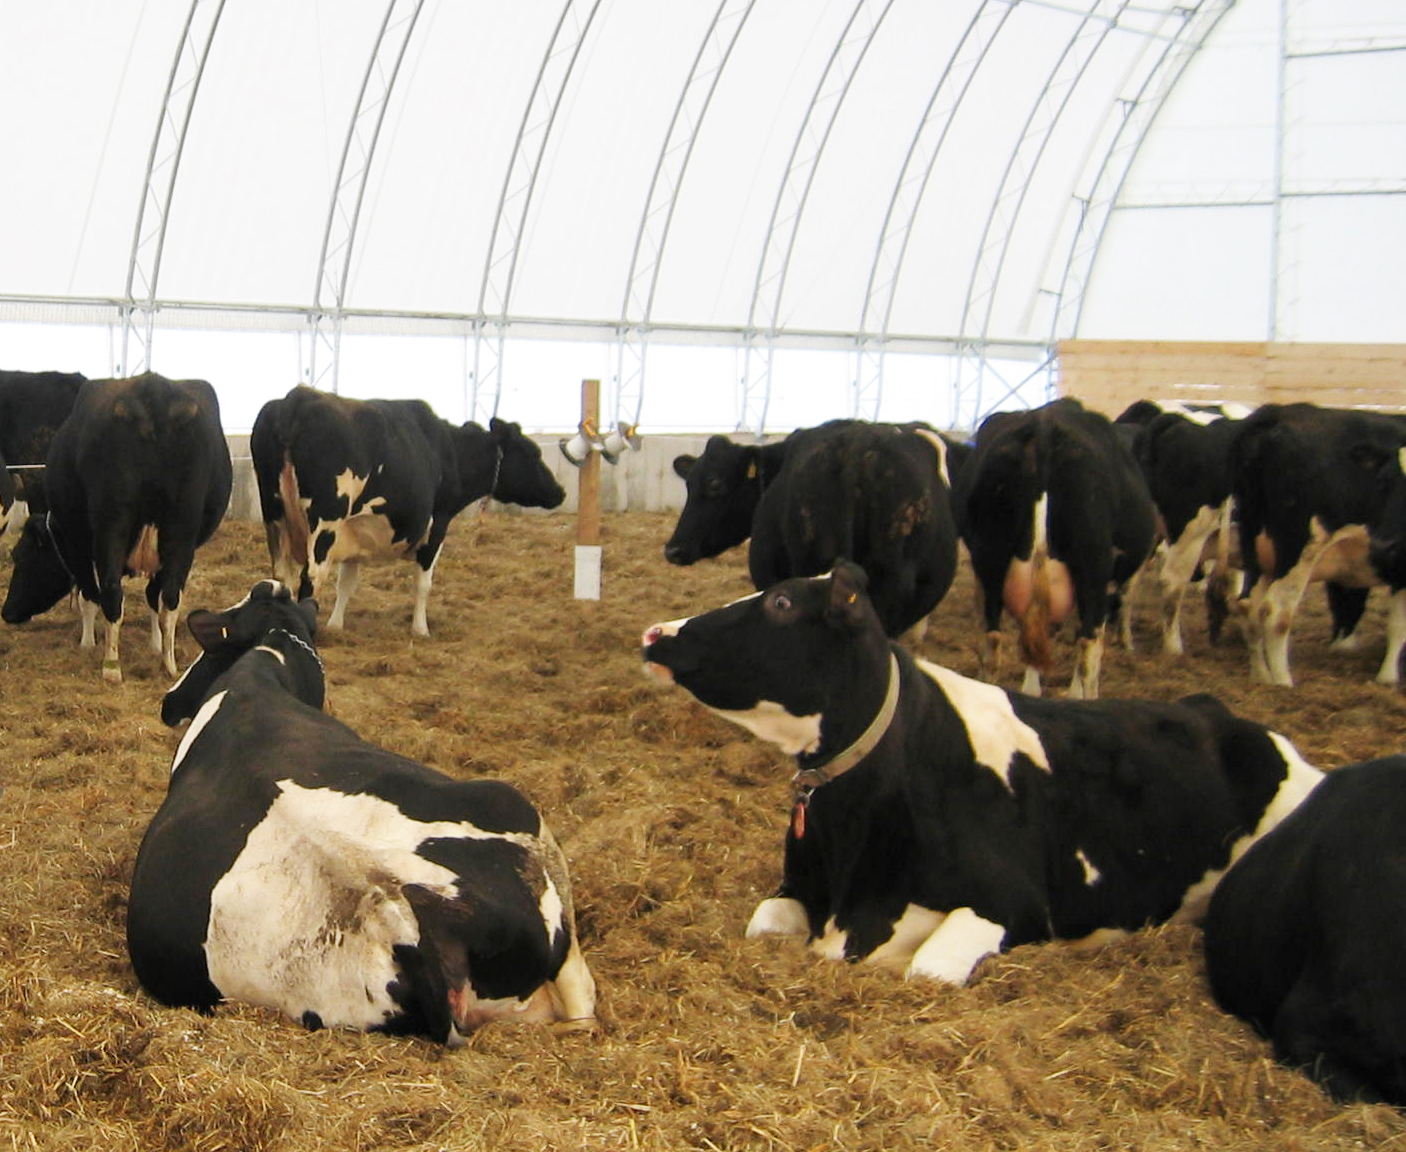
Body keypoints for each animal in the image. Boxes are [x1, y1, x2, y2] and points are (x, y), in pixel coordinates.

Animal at [0, 373, 232, 683]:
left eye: (21, 557)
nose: (7, 612)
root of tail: (153, 390)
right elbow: (153, 596)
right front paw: (156, 644)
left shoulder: (78, 545)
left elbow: (88, 595)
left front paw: (87, 643)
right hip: (182, 525)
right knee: (170, 597)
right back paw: (169, 665)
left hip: (113, 521)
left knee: (110, 590)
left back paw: (111, 667)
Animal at [250, 385, 565, 637]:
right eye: (534, 453)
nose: (560, 492)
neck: (451, 450)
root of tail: (298, 397)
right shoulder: (438, 523)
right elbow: (423, 584)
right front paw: (421, 630)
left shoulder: (353, 532)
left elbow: (347, 583)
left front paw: (336, 625)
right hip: (325, 523)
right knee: (311, 578)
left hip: (275, 517)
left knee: (283, 576)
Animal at [640, 563, 1322, 985]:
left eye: (782, 602)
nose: (656, 632)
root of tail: (1229, 717)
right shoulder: (801, 888)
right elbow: (763, 924)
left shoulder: (1013, 907)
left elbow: (929, 968)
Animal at [1227, 402, 1406, 687]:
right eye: (1384, 481)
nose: (1388, 544)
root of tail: (1279, 412)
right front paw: (1388, 678)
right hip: (1299, 551)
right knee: (1276, 613)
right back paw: (1283, 682)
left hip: (1257, 550)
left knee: (1248, 607)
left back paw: (1262, 676)